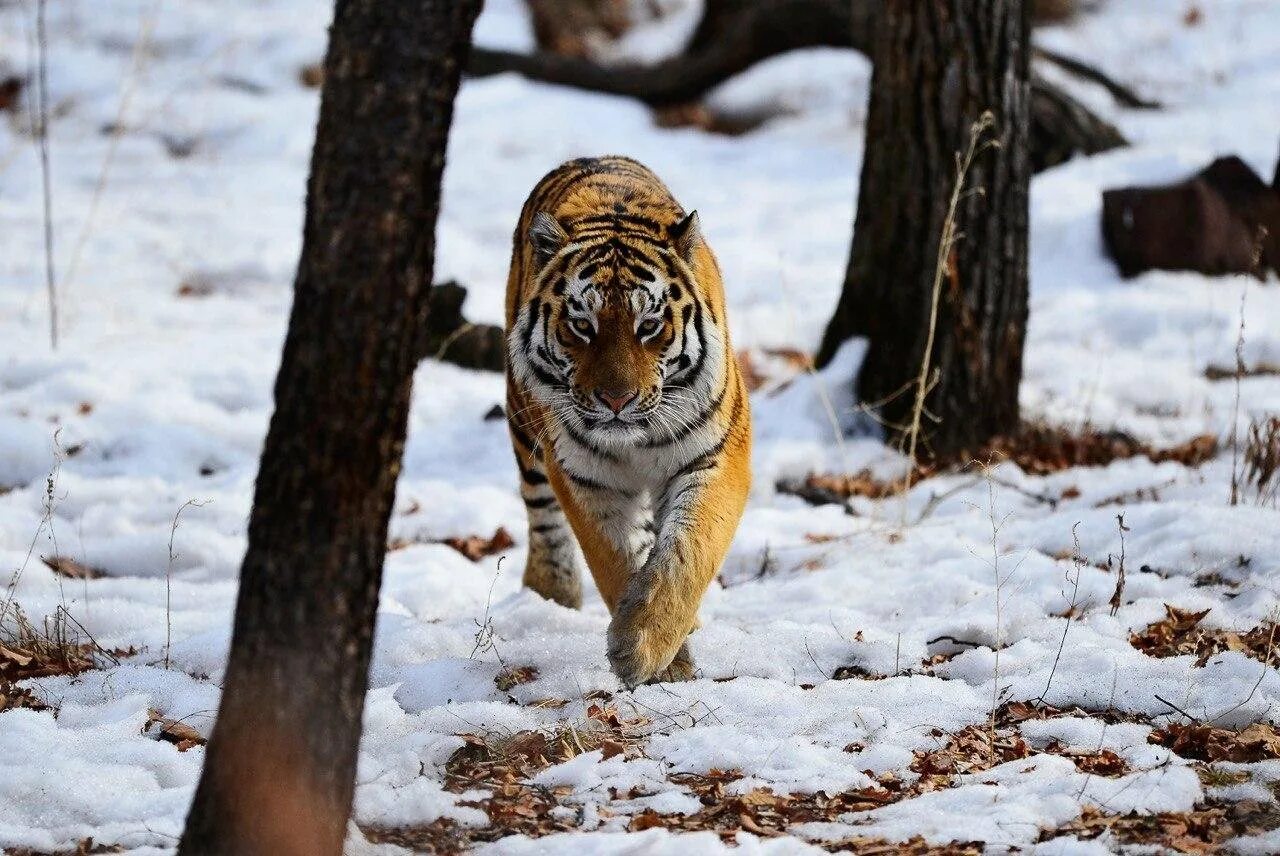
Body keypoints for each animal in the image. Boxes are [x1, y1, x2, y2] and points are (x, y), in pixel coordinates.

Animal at [504, 156, 751, 687]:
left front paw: (646, 647)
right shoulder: (585, 475)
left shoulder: (716, 456)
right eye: (582, 326)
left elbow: (687, 553)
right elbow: (614, 559)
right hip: (522, 419)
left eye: (649, 327)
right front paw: (656, 658)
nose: (616, 398)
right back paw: (549, 594)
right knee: (542, 514)